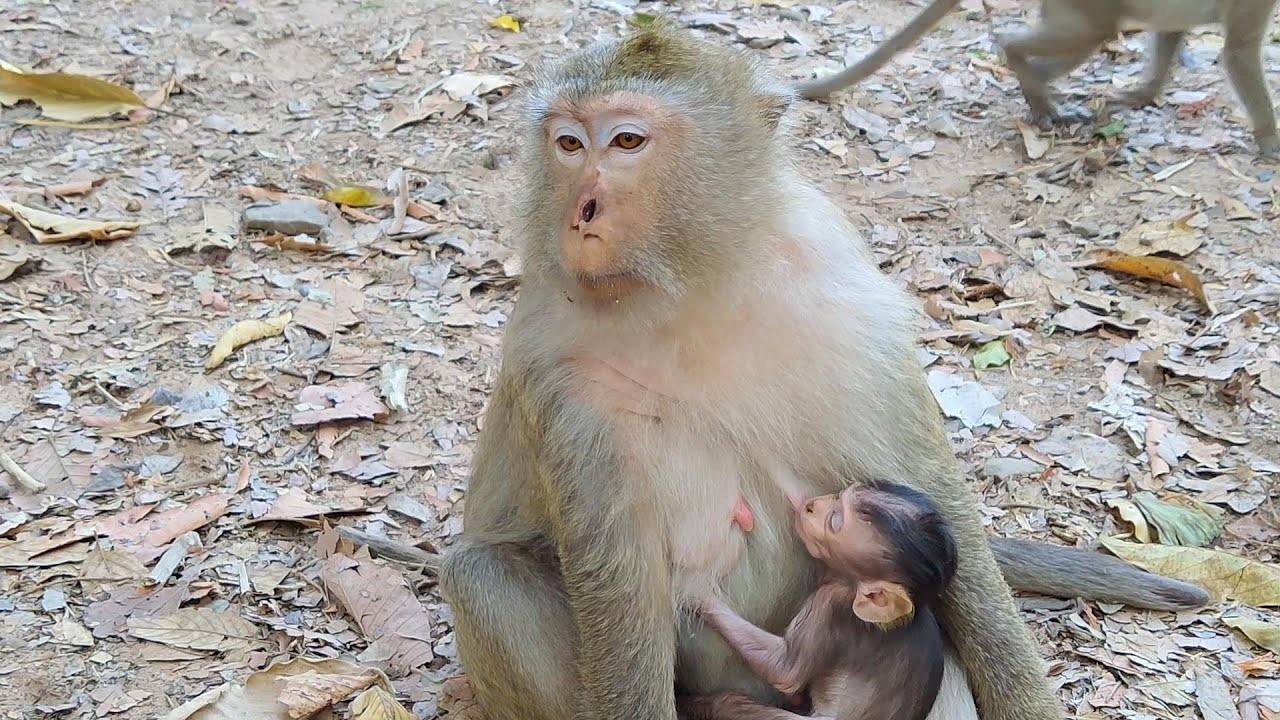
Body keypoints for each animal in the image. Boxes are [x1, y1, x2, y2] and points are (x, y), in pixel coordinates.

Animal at [681, 481, 959, 720]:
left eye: (834, 522)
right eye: (839, 496)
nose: (810, 505)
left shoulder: (829, 605)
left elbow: (785, 670)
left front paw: (697, 593)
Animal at [796, 0, 1280, 160]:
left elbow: (1172, 31)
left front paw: (1141, 95)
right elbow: (1238, 53)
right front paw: (1271, 142)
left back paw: (1041, 96)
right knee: (1081, 36)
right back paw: (1029, 80)